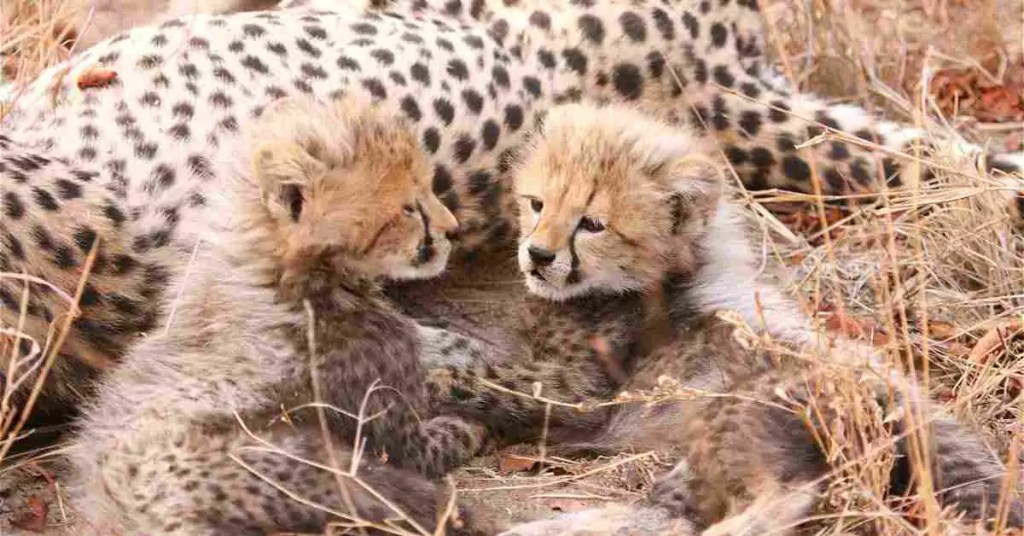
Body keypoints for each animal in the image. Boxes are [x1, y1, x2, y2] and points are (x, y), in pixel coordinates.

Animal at [67, 94, 492, 536]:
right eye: (409, 207)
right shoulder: (392, 431)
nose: (453, 229)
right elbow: (434, 442)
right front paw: (471, 422)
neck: (281, 276)